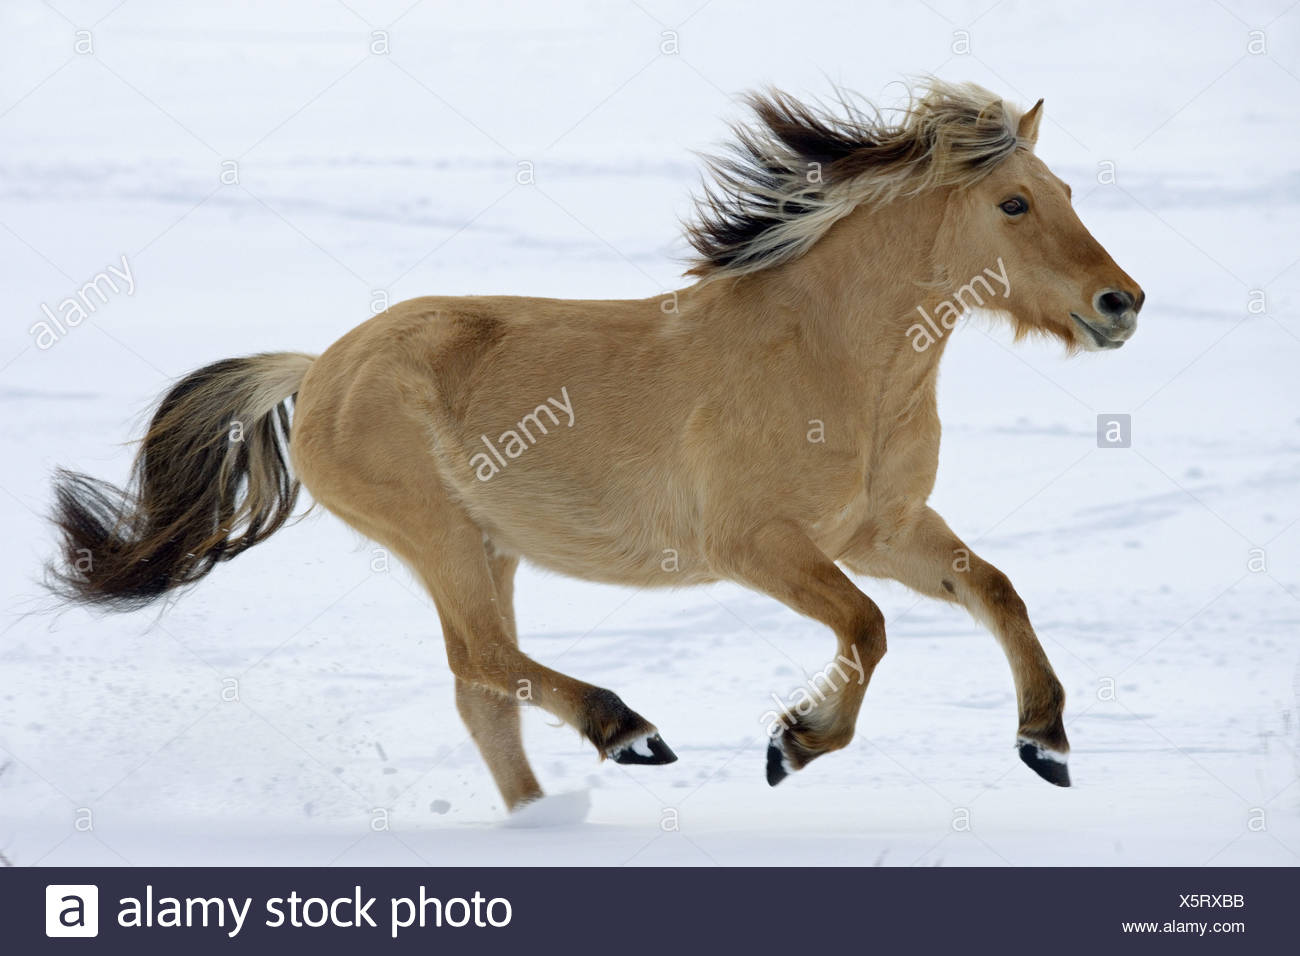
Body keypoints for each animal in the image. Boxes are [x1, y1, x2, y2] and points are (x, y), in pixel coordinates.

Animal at [48, 79, 1143, 813]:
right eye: (1013, 203)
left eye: (1067, 188)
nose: (1119, 303)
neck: (836, 362)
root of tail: (317, 369)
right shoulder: (758, 546)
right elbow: (868, 627)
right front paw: (793, 742)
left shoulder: (882, 529)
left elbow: (995, 588)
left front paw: (1045, 741)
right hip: (442, 536)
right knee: (484, 658)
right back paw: (630, 732)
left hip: (488, 549)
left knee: (482, 692)